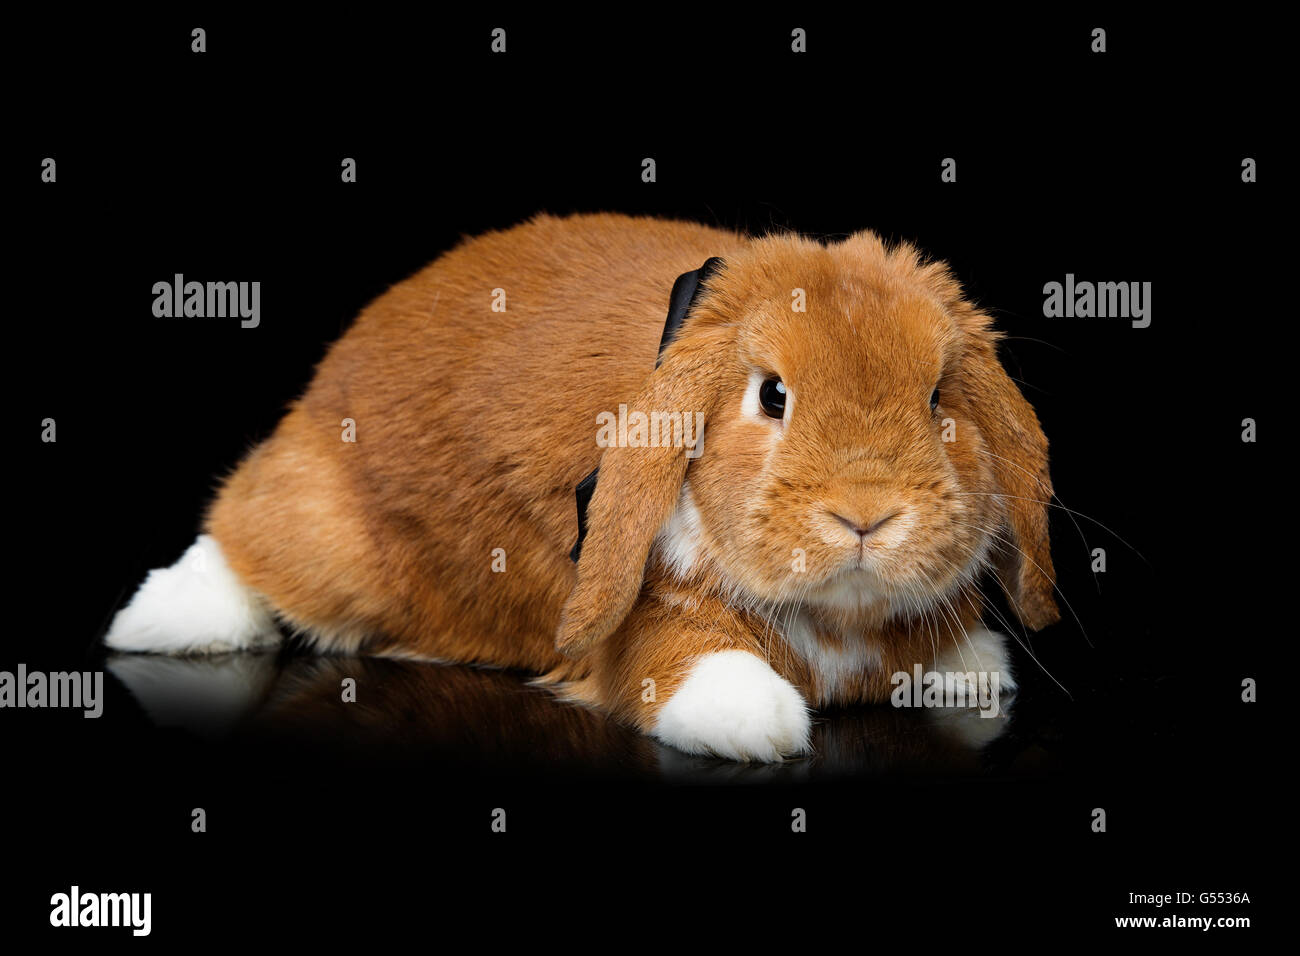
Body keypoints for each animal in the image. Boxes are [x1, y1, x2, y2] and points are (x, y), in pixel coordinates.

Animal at [105, 212, 1059, 762]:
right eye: (771, 395)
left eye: (937, 397)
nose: (866, 514)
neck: (833, 620)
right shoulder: (640, 613)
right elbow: (680, 658)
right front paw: (756, 719)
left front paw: (970, 668)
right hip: (324, 529)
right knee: (240, 540)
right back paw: (168, 619)